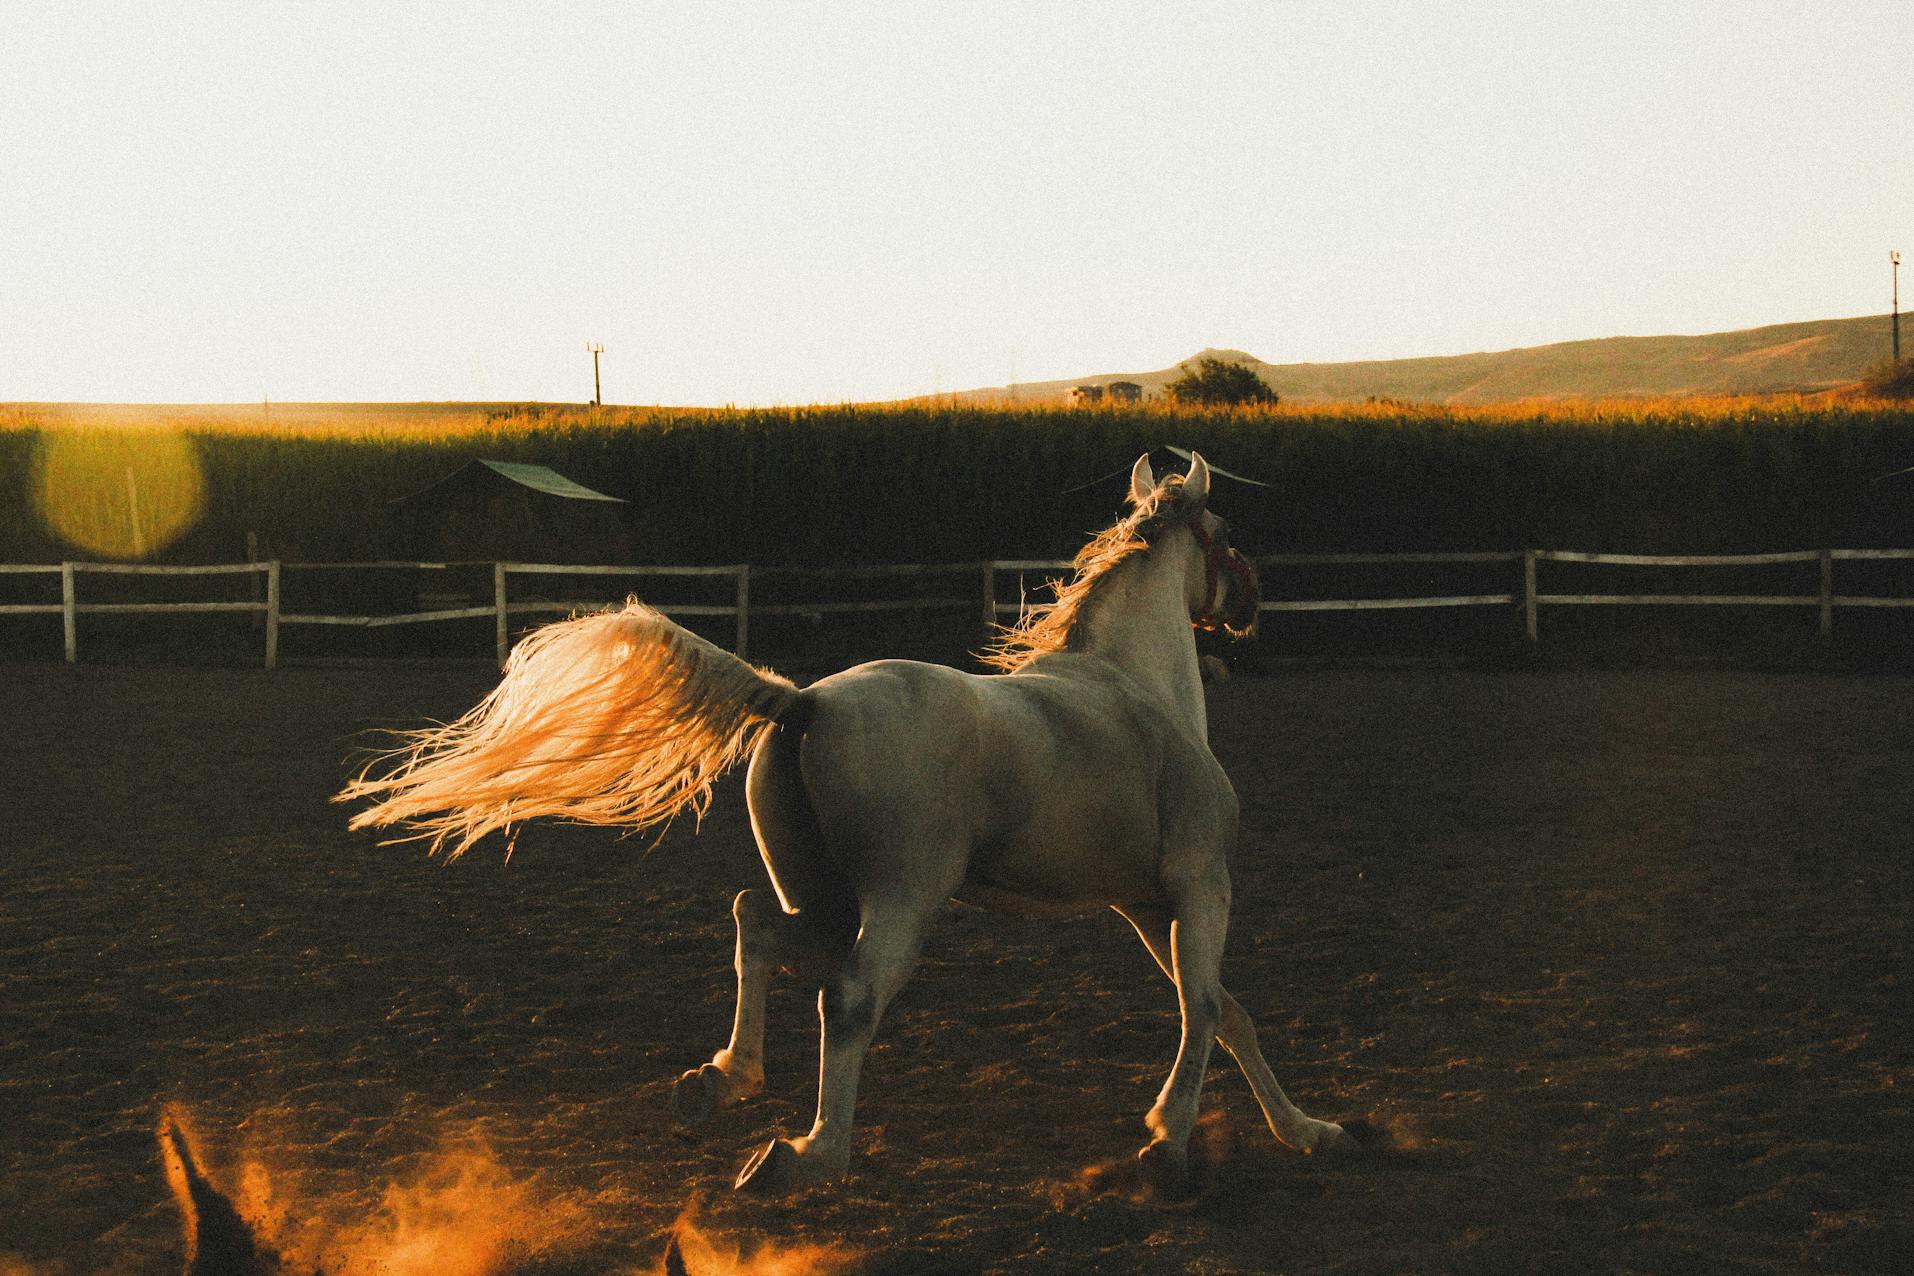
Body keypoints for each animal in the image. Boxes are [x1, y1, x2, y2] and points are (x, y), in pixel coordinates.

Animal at [339, 451, 1353, 1194]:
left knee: (758, 929)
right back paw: (808, 1154)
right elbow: (1209, 1006)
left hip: (822, 896)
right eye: (1227, 532)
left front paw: (1307, 1131)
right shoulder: (1198, 884)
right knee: (851, 996)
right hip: (903, 900)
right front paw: (1166, 1143)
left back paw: (724, 1079)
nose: (1252, 604)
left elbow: (1229, 1013)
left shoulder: (1142, 904)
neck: (1138, 692)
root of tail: (806, 703)